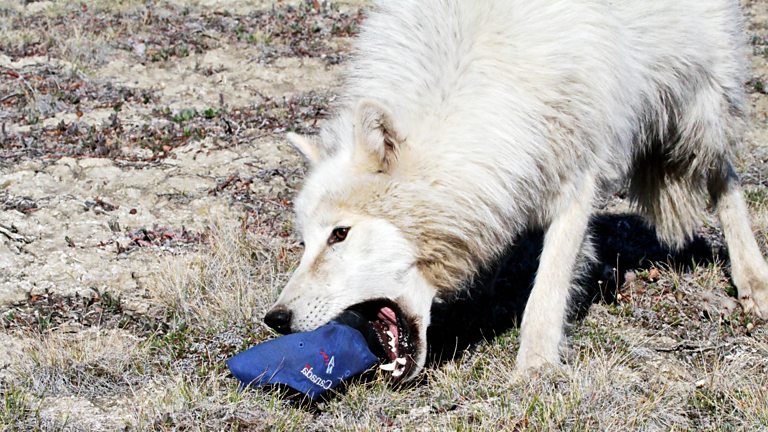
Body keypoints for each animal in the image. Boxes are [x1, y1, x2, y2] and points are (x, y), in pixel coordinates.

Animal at [264, 0, 768, 381]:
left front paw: (535, 369)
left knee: (726, 178)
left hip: (698, 116)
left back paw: (753, 281)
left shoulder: (576, 178)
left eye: (340, 234)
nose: (276, 319)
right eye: (304, 243)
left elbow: (548, 287)